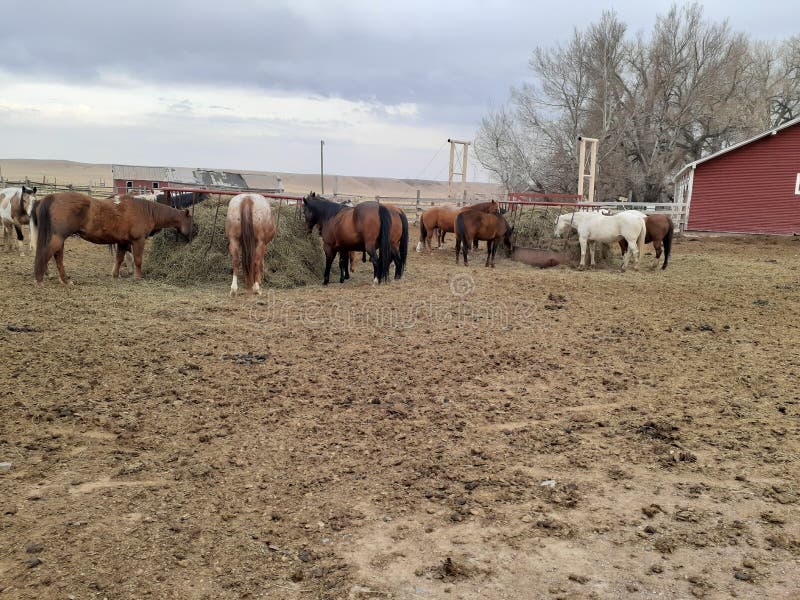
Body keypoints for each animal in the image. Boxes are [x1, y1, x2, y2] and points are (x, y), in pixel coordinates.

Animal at [33, 192, 195, 284]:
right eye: (192, 222)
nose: (195, 234)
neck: (145, 210)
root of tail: (54, 197)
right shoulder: (138, 241)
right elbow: (137, 260)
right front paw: (138, 277)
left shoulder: (122, 242)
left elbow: (119, 259)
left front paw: (115, 275)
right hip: (58, 238)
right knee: (46, 254)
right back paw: (40, 279)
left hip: (59, 239)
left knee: (57, 258)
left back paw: (64, 280)